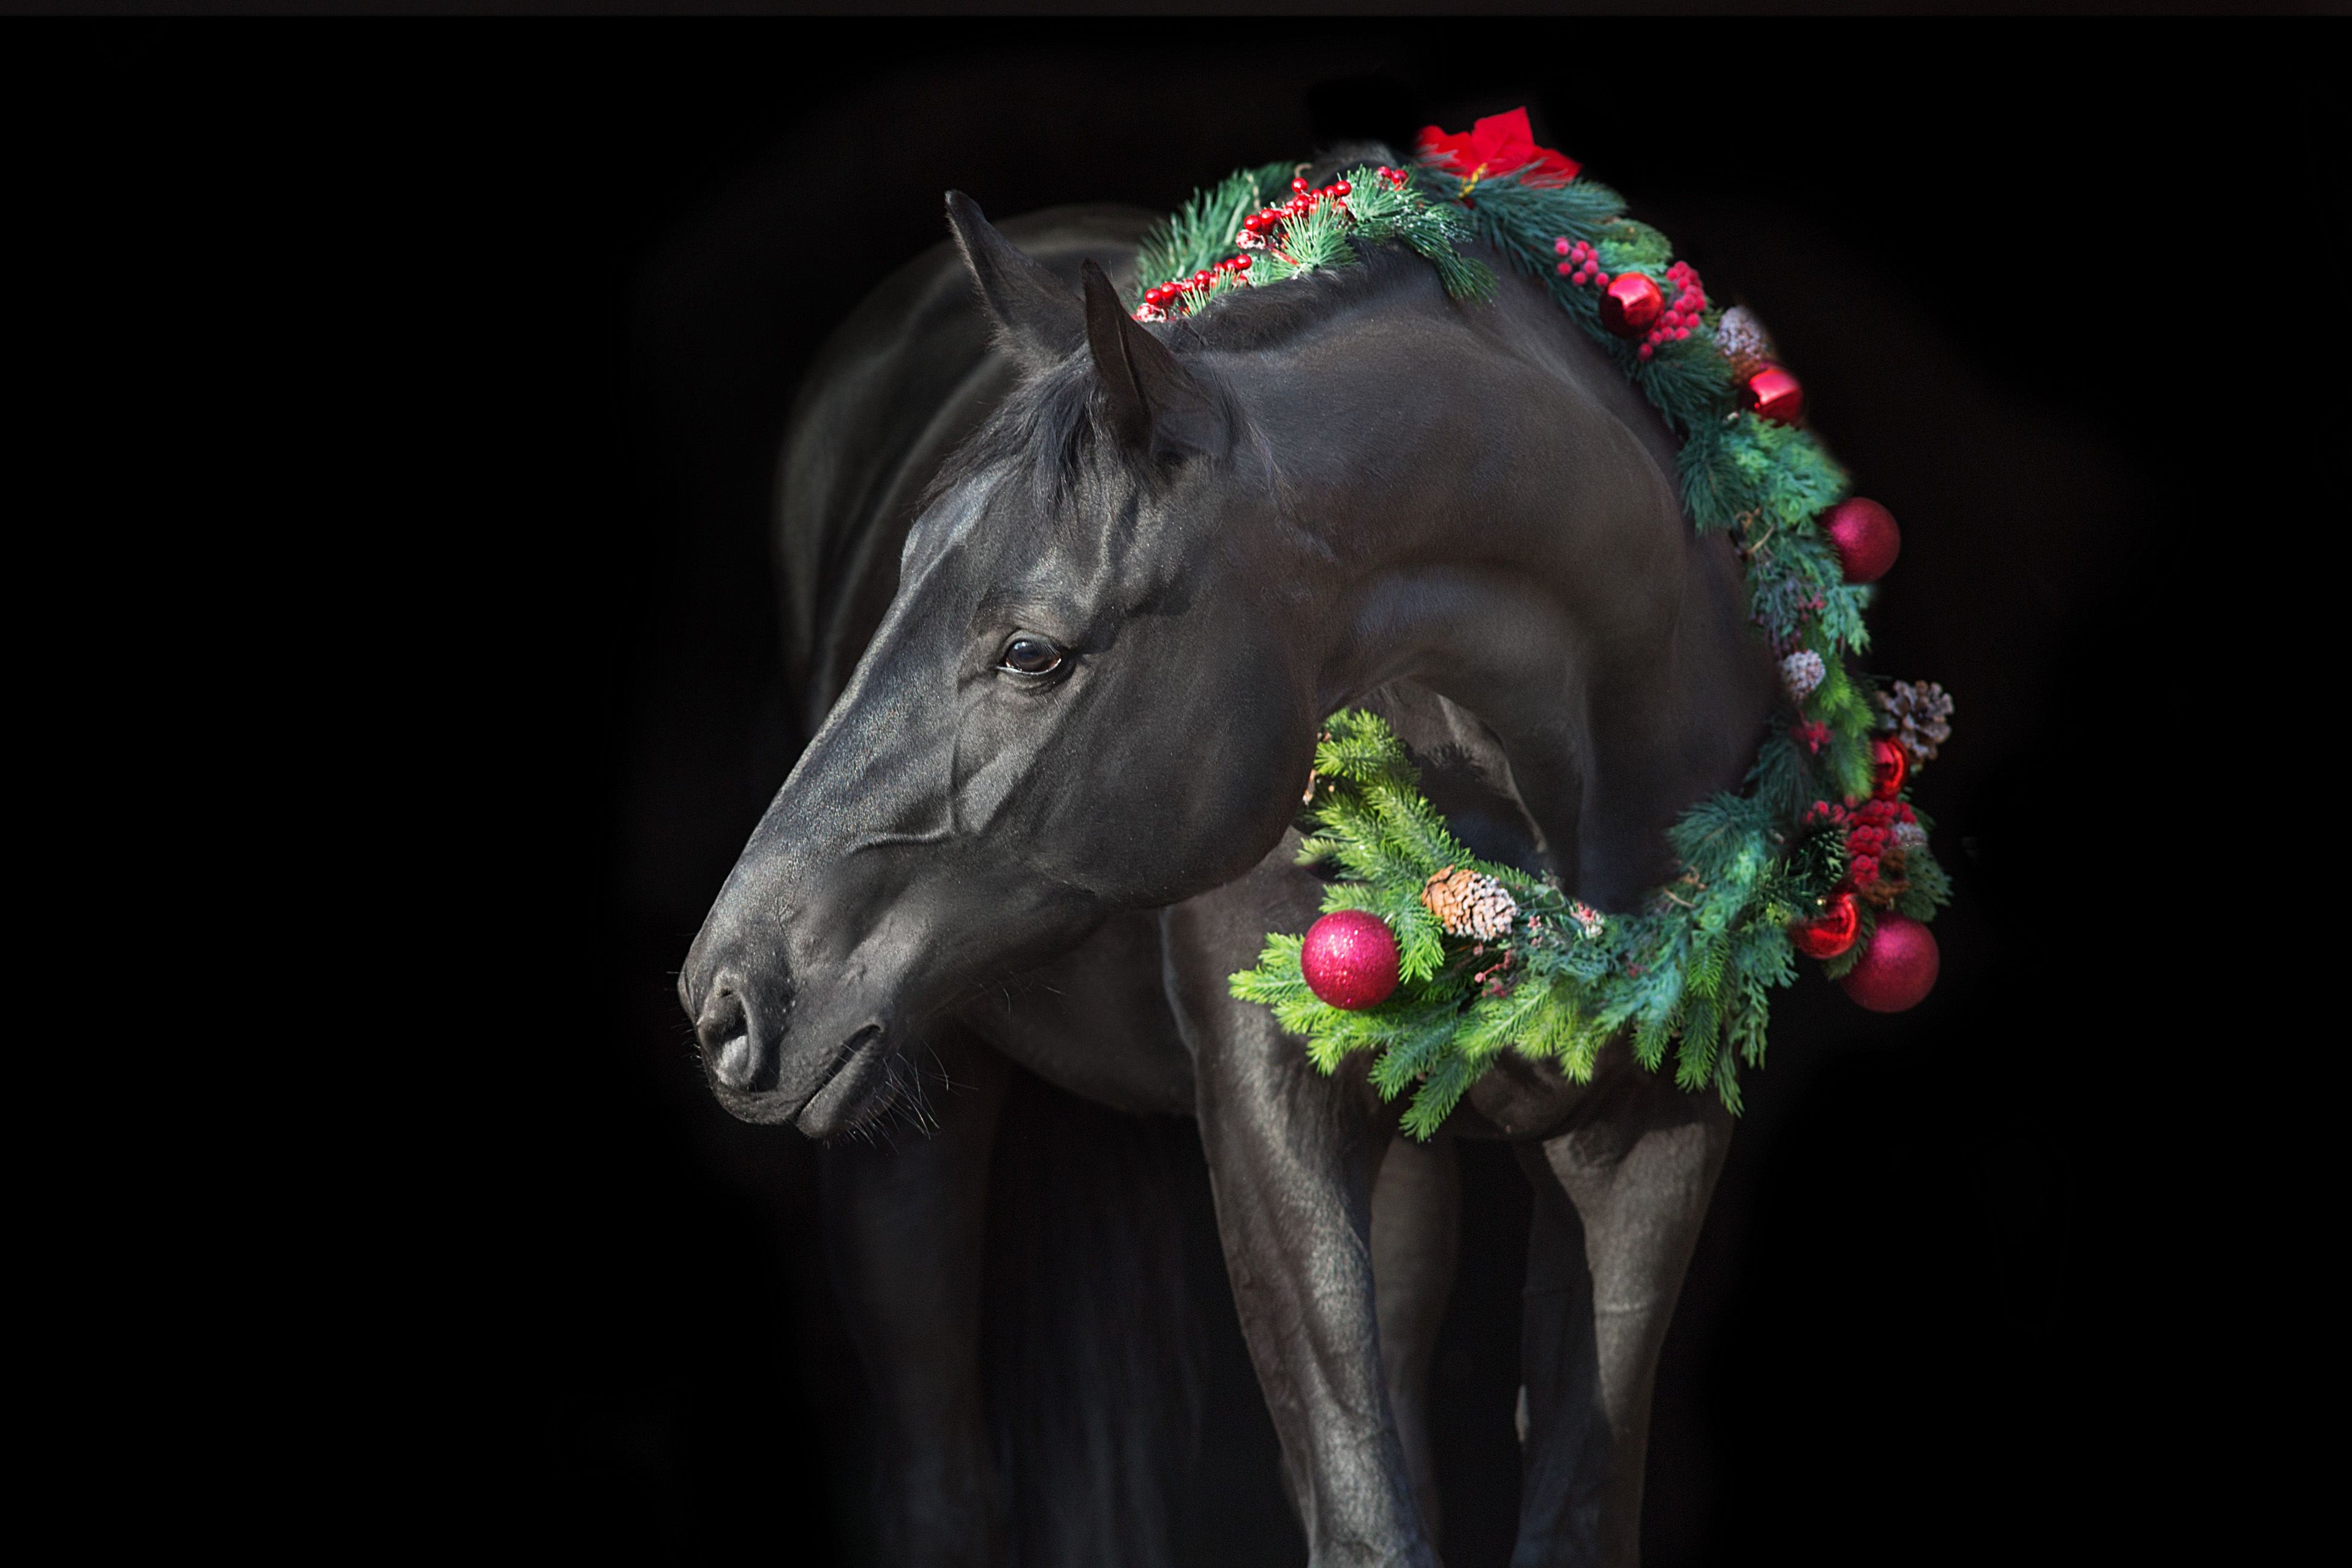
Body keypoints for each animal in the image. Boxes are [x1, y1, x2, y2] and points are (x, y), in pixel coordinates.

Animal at [678, 144, 1778, 1567]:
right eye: (903, 584)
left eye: (1031, 650)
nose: (726, 995)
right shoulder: (1269, 1117)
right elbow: (1366, 1519)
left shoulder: (1656, 1141)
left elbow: (1569, 1508)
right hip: (904, 1142)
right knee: (937, 1476)